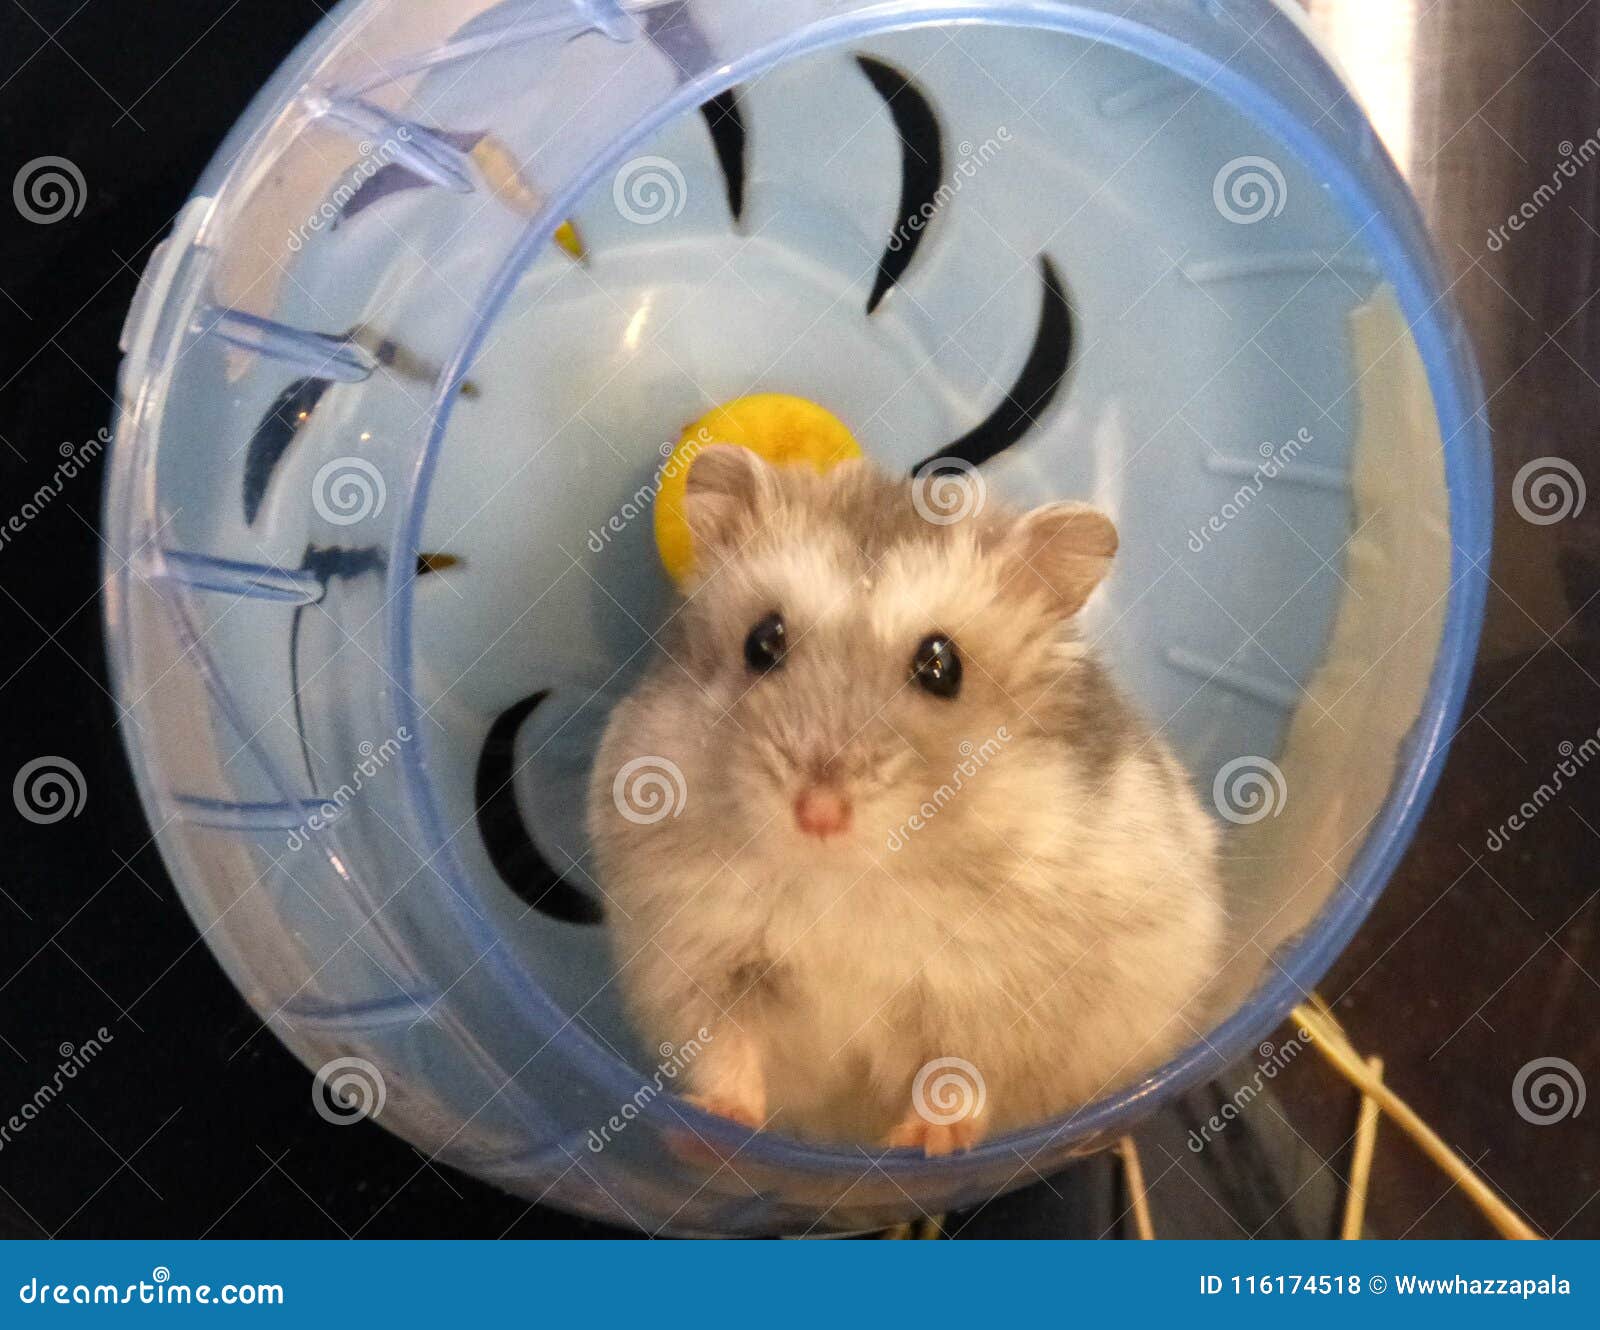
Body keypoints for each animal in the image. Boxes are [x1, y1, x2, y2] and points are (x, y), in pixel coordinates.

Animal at [587, 446, 1223, 1153]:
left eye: (942, 667)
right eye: (761, 641)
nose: (818, 814)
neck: (843, 879)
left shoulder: (1000, 991)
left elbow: (958, 1069)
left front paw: (926, 1142)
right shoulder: (701, 960)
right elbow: (728, 1046)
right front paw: (711, 1128)